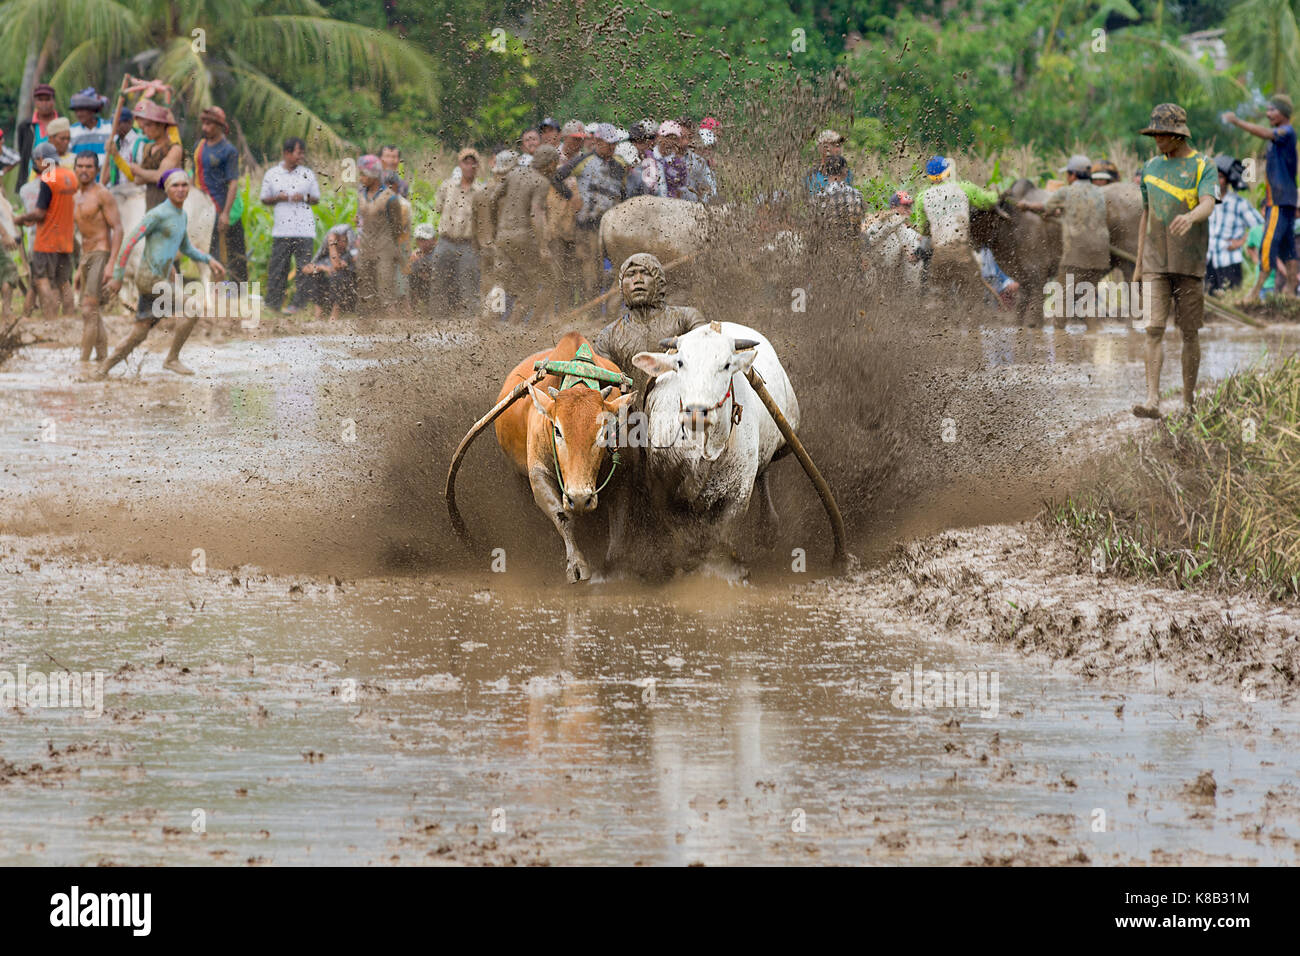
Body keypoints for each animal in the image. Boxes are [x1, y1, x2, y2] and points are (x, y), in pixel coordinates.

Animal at [494, 331, 637, 583]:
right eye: (557, 430)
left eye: (604, 430)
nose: (579, 498)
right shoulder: (539, 474)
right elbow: (563, 516)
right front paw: (577, 565)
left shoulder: (623, 474)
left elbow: (620, 519)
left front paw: (617, 566)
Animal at [631, 320, 798, 569]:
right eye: (680, 362)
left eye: (727, 365)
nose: (696, 412)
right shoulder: (661, 490)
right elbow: (680, 540)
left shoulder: (736, 498)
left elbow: (718, 543)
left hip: (787, 436)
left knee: (764, 471)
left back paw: (768, 528)